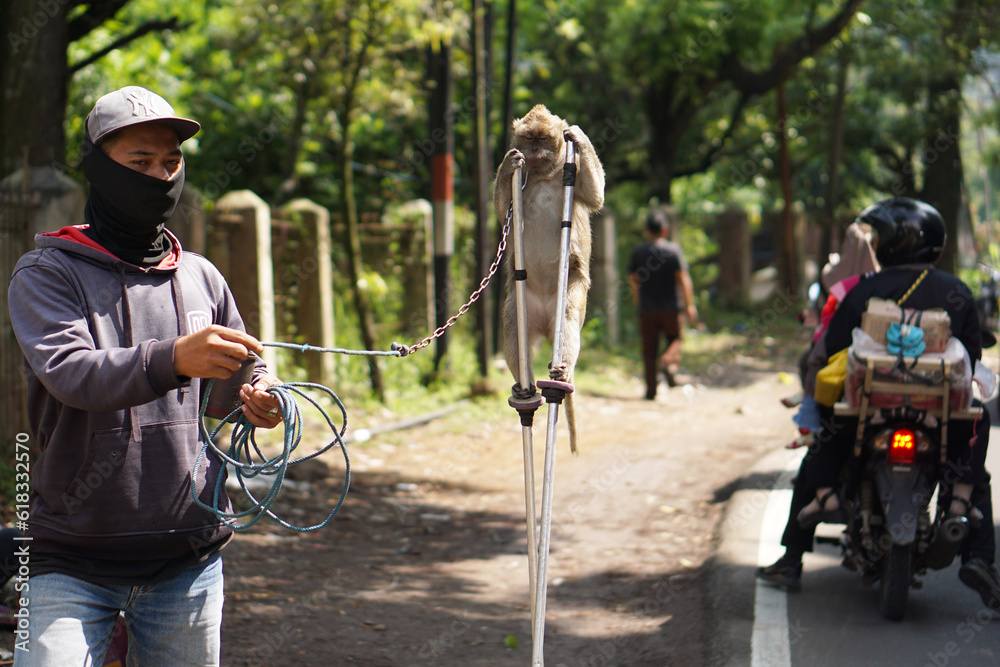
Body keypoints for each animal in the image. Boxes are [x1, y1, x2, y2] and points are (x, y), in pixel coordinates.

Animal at [493, 104, 606, 455]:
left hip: (569, 291)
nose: (534, 151)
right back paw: (525, 390)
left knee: (567, 316)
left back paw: (561, 375)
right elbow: (502, 210)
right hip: (525, 304)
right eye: (529, 139)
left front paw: (578, 137)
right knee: (514, 325)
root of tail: (544, 321)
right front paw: (509, 164)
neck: (543, 175)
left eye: (543, 139)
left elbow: (595, 196)